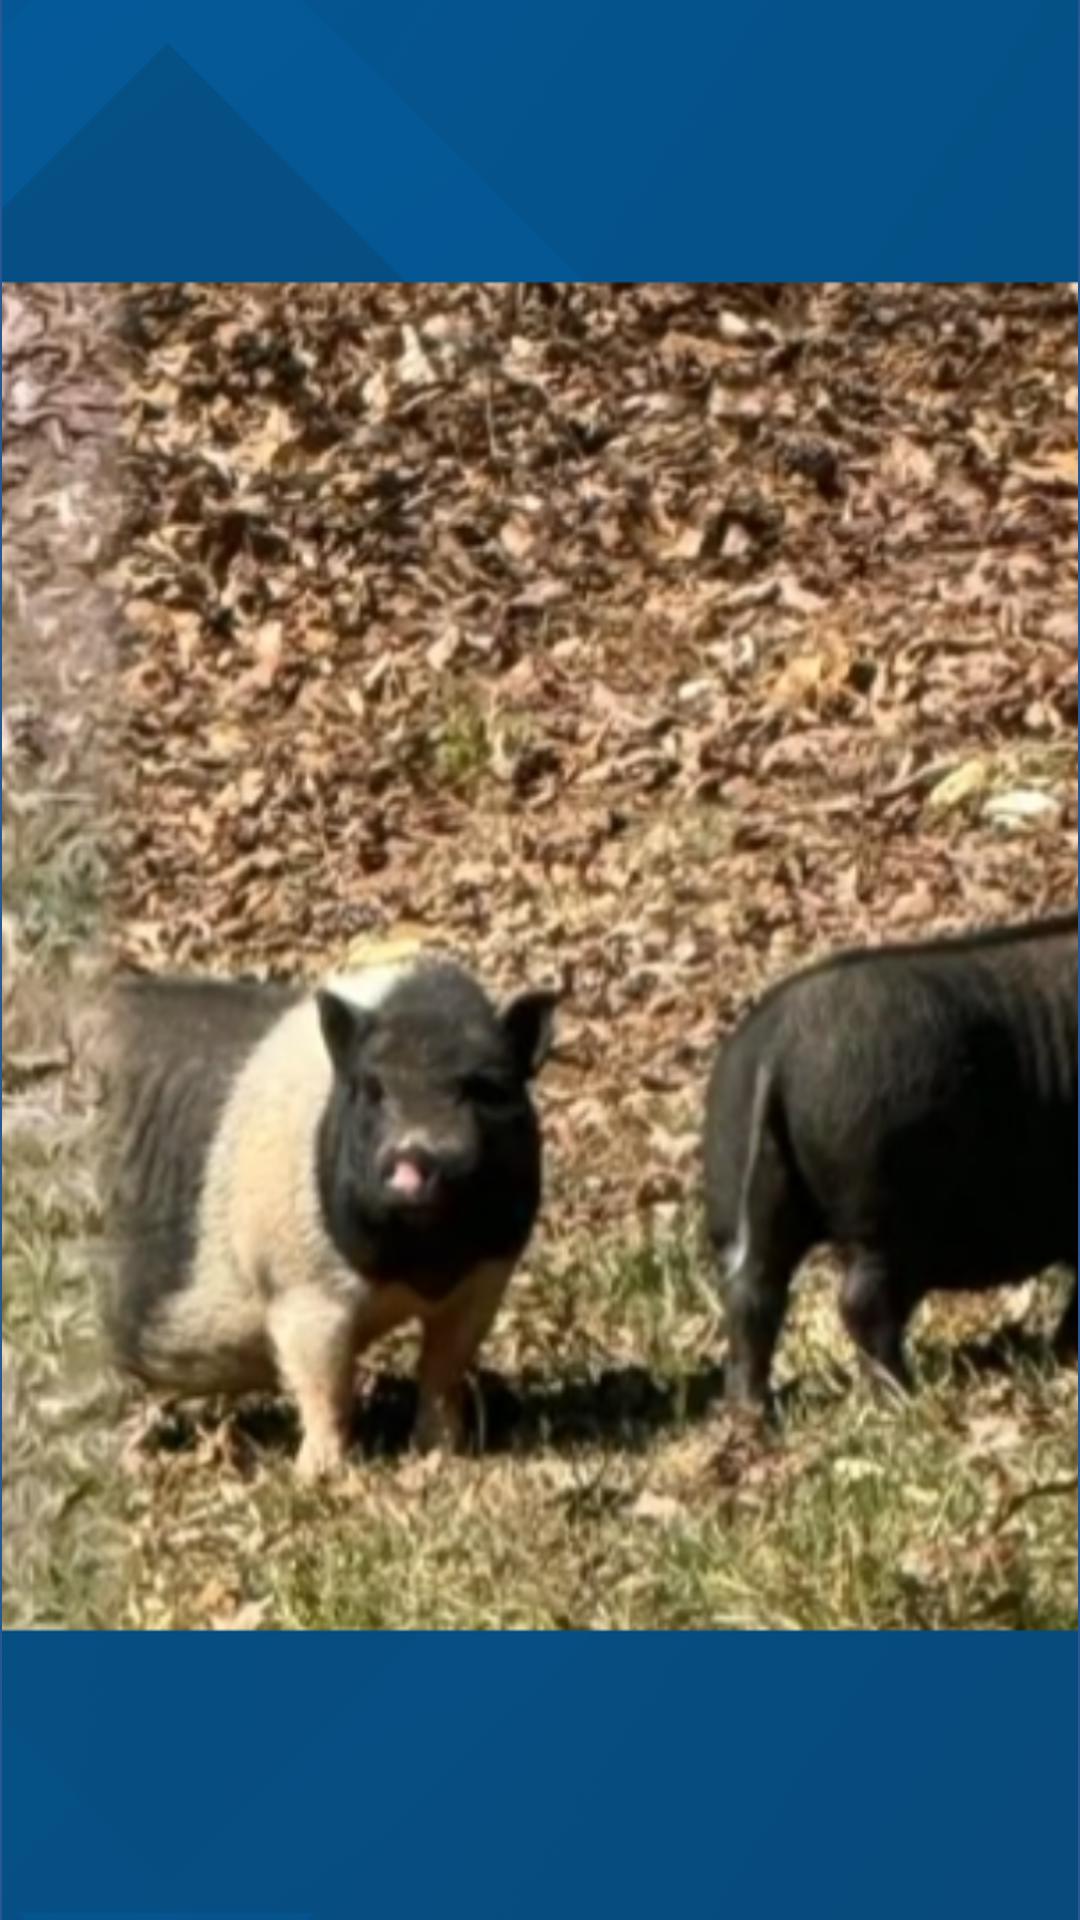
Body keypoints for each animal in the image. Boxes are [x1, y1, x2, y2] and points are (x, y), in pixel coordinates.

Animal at [98, 955, 557, 1479]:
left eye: (484, 1087)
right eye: (372, 1089)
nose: (413, 1156)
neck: (417, 1267)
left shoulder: (485, 1277)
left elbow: (443, 1369)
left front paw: (441, 1454)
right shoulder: (299, 1285)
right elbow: (326, 1385)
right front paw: (318, 1474)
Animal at [704, 912, 1077, 1404]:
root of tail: (774, 1053)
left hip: (738, 1187)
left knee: (751, 1291)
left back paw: (753, 1411)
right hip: (884, 1209)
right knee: (862, 1301)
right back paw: (903, 1394)